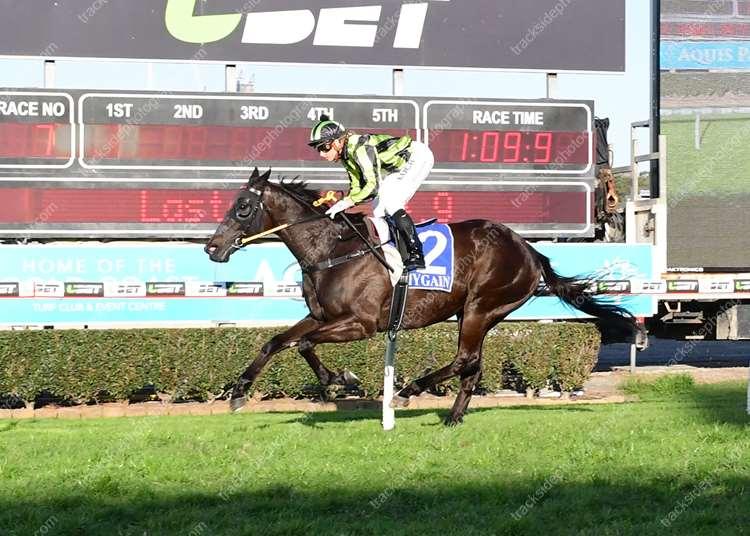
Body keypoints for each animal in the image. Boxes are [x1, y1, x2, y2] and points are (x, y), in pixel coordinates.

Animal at [205, 168, 637, 425]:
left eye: (243, 207)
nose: (212, 247)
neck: (332, 249)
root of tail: (529, 250)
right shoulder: (321, 315)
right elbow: (278, 341)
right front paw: (239, 392)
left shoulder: (361, 323)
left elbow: (305, 344)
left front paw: (341, 378)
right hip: (476, 312)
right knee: (472, 366)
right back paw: (452, 417)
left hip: (481, 306)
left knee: (464, 360)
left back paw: (410, 391)